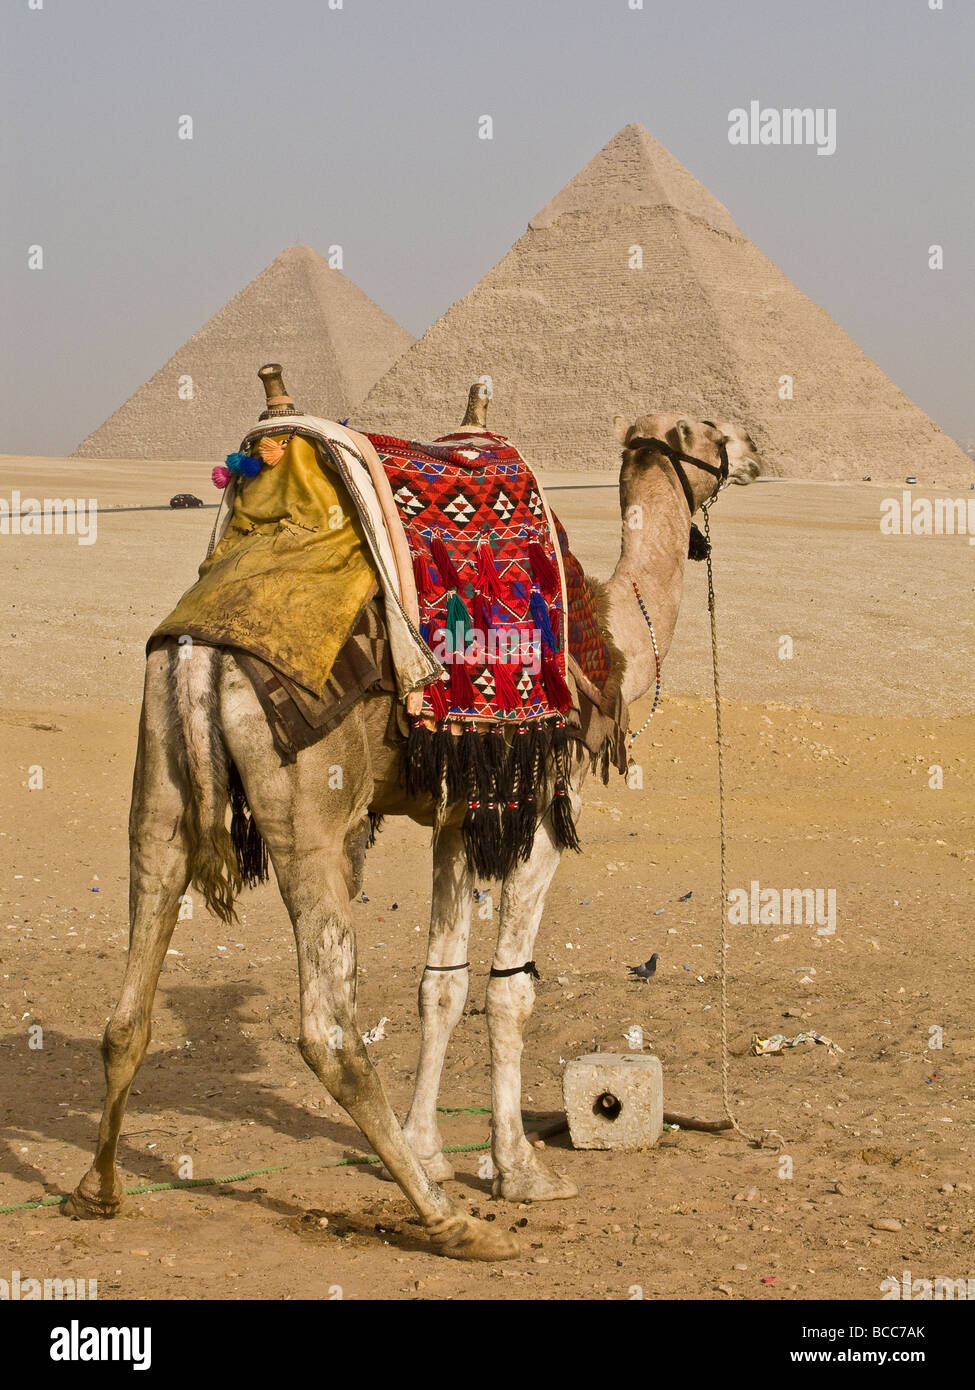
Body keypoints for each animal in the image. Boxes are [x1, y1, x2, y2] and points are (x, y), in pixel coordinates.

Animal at [65, 391, 732, 1262]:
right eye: (717, 434)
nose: (754, 450)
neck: (615, 639)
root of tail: (202, 658)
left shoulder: (456, 812)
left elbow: (439, 983)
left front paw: (429, 1148)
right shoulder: (540, 807)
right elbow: (510, 989)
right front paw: (517, 1171)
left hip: (159, 792)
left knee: (127, 1010)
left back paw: (97, 1190)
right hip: (310, 817)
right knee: (327, 1029)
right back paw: (449, 1222)